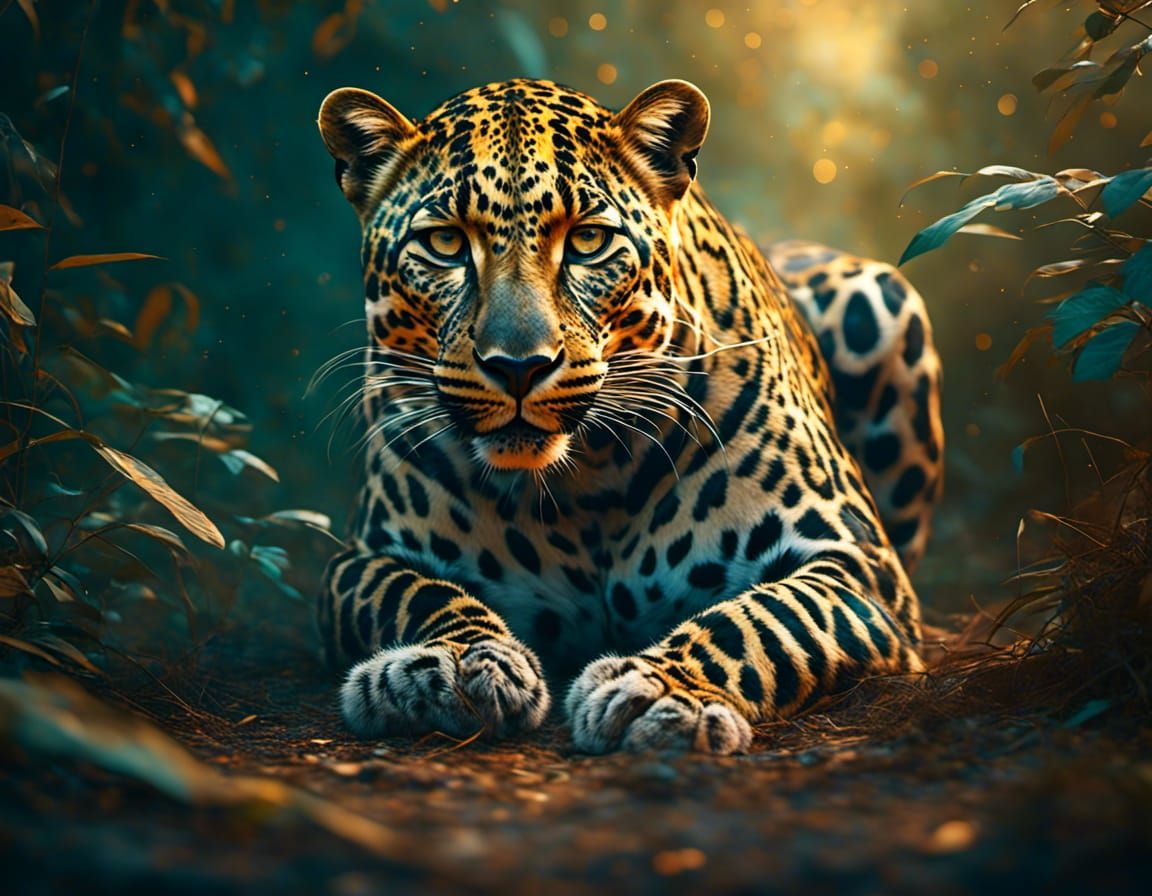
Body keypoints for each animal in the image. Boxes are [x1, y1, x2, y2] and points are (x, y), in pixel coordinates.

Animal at [315, 78, 943, 755]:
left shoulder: (856, 562)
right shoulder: (361, 556)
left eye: (589, 242)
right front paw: (450, 664)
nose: (518, 367)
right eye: (446, 243)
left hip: (883, 300)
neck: (585, 478)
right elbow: (413, 594)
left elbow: (762, 619)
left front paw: (663, 692)